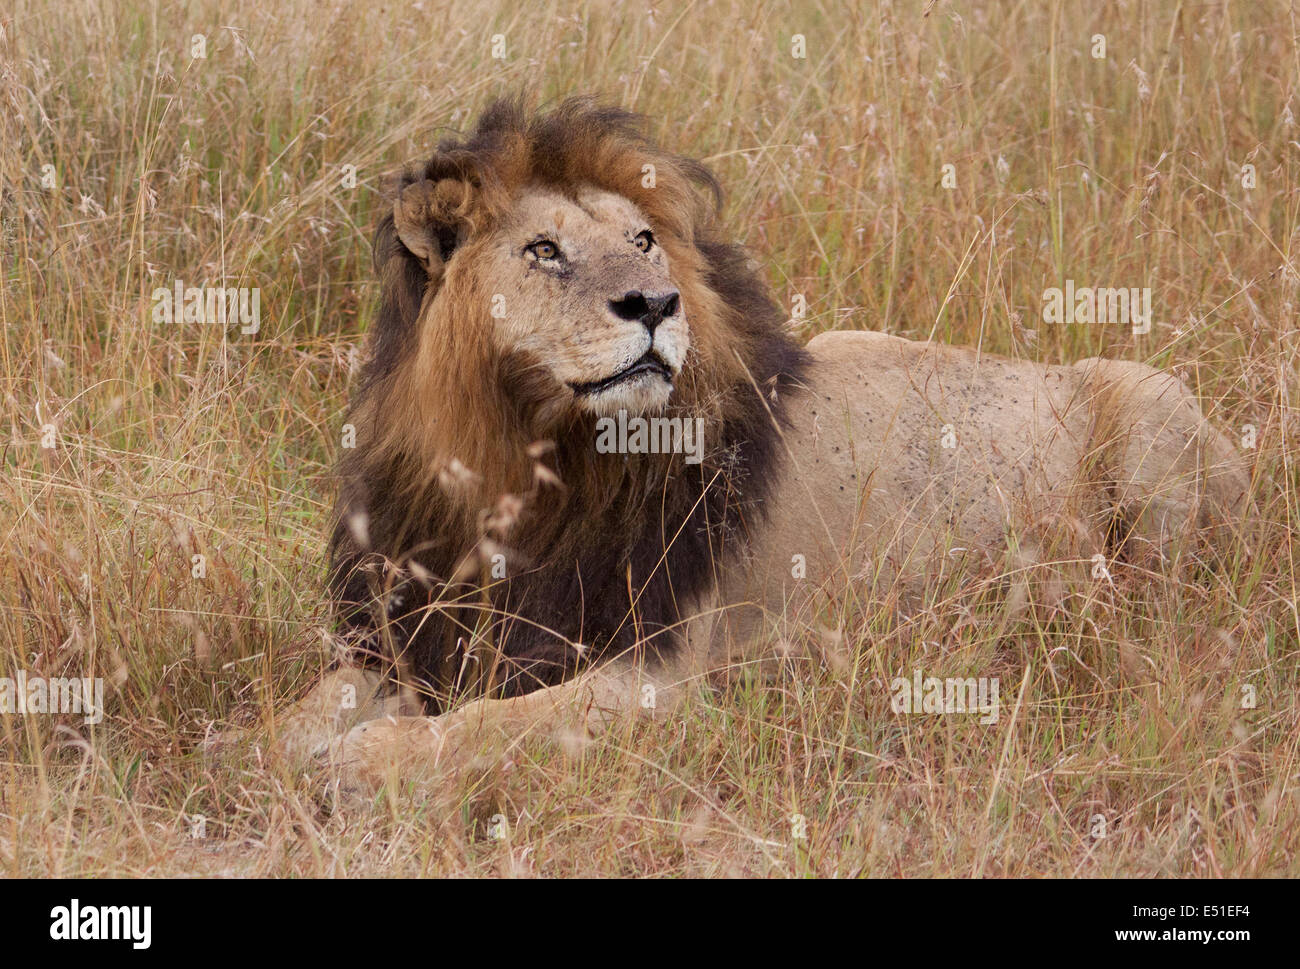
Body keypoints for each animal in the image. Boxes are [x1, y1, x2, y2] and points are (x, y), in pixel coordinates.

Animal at [271, 96, 1251, 792]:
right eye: (544, 250)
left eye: (643, 240)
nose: (656, 303)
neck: (517, 462)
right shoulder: (406, 629)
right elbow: (295, 715)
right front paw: (285, 752)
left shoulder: (659, 674)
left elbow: (484, 726)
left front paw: (367, 760)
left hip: (1152, 405)